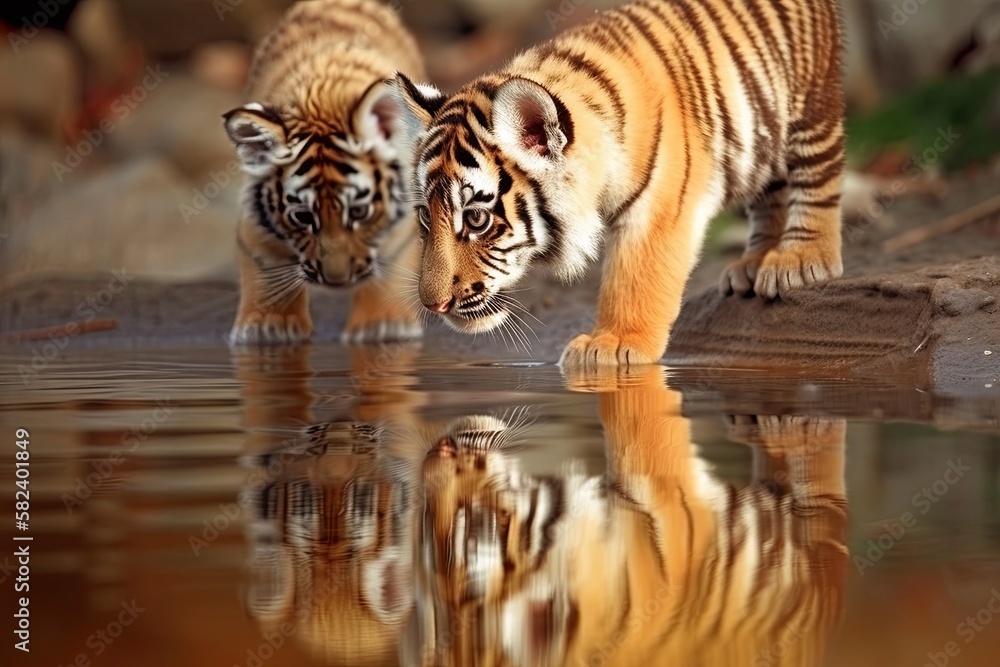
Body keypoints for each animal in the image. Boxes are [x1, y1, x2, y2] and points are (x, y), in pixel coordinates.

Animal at [225, 0, 426, 345]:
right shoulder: (254, 220)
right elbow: (266, 267)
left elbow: (391, 264)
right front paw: (268, 328)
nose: (336, 281)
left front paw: (382, 326)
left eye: (359, 212)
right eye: (303, 216)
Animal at [391, 0, 846, 369]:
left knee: (818, 178)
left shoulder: (658, 210)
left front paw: (613, 346)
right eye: (425, 216)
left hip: (813, 102)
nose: (434, 305)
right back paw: (754, 263)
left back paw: (799, 260)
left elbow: (636, 279)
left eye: (477, 219)